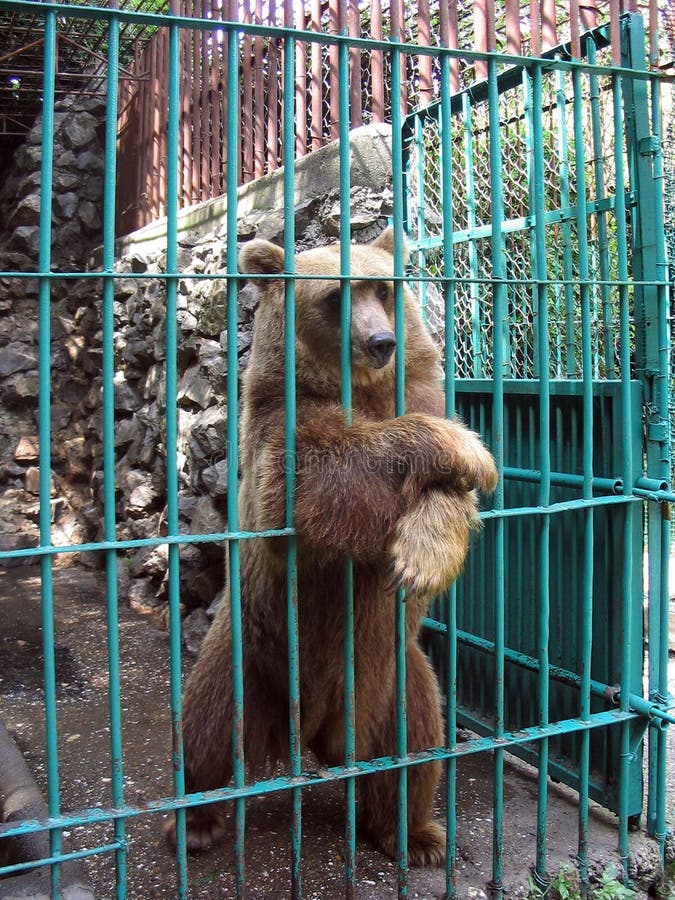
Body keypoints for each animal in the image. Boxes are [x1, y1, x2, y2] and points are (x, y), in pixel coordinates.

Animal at [166, 226, 498, 866]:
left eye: (382, 289)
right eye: (334, 297)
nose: (381, 342)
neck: (362, 390)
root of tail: (322, 737)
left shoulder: (418, 390)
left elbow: (449, 501)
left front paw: (422, 558)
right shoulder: (277, 426)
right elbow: (315, 474)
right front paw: (465, 448)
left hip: (399, 678)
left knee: (415, 751)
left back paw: (414, 836)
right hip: (250, 656)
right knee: (206, 730)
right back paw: (195, 822)